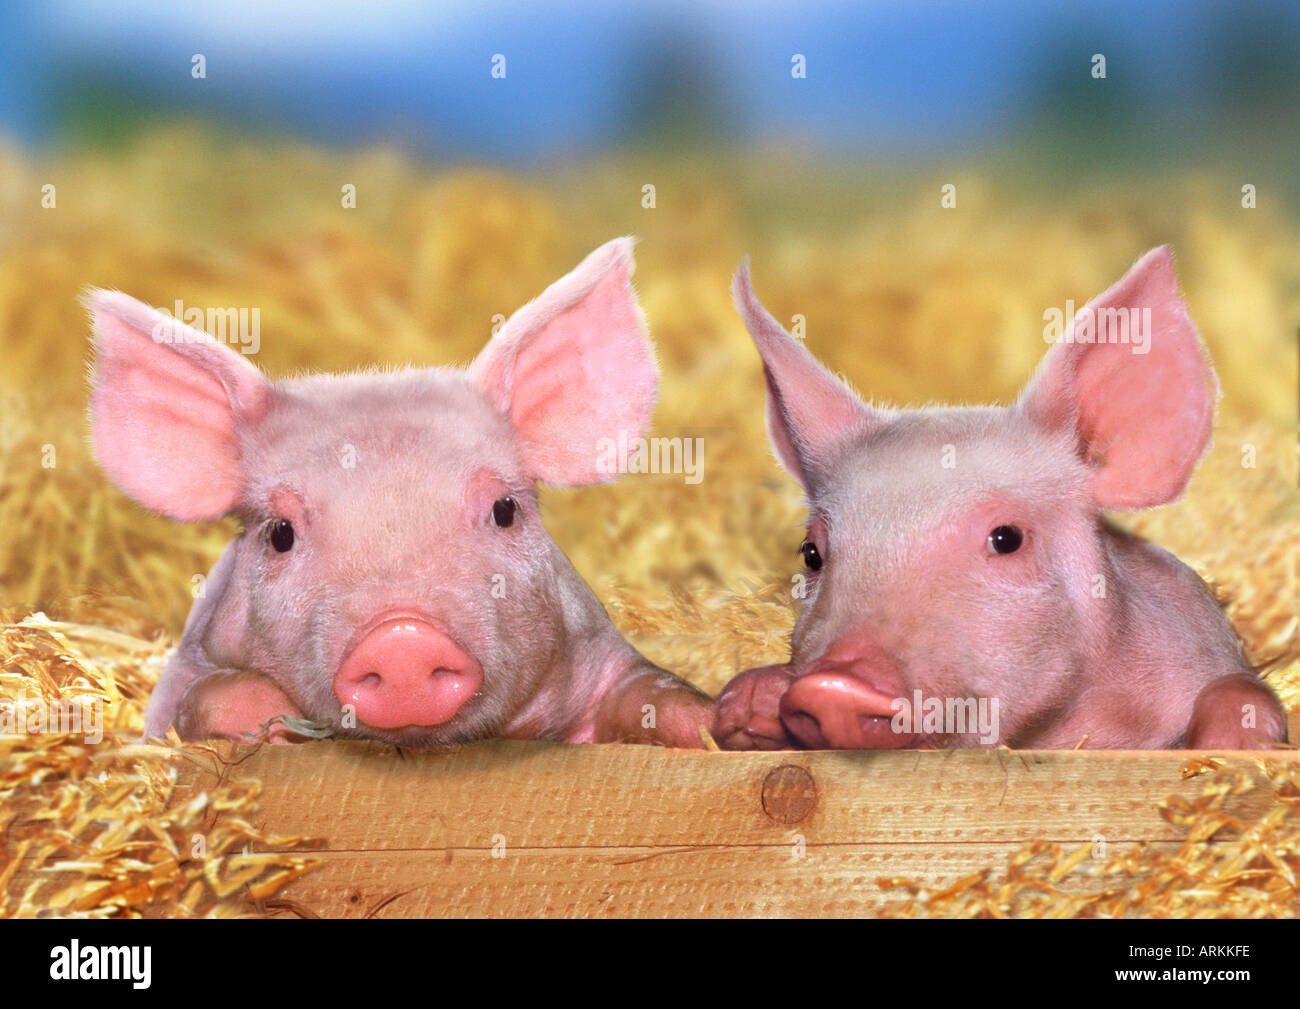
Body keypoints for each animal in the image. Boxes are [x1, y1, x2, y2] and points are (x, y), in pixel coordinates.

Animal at [88, 238, 714, 747]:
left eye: (504, 510)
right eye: (280, 534)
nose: (403, 638)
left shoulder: (597, 647)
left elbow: (654, 692)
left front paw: (724, 723)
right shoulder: (191, 665)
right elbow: (207, 697)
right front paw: (278, 724)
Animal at [715, 247, 1287, 751]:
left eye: (1007, 538)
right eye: (811, 554)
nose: (833, 684)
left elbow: (1241, 693)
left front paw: (1229, 745)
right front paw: (746, 702)